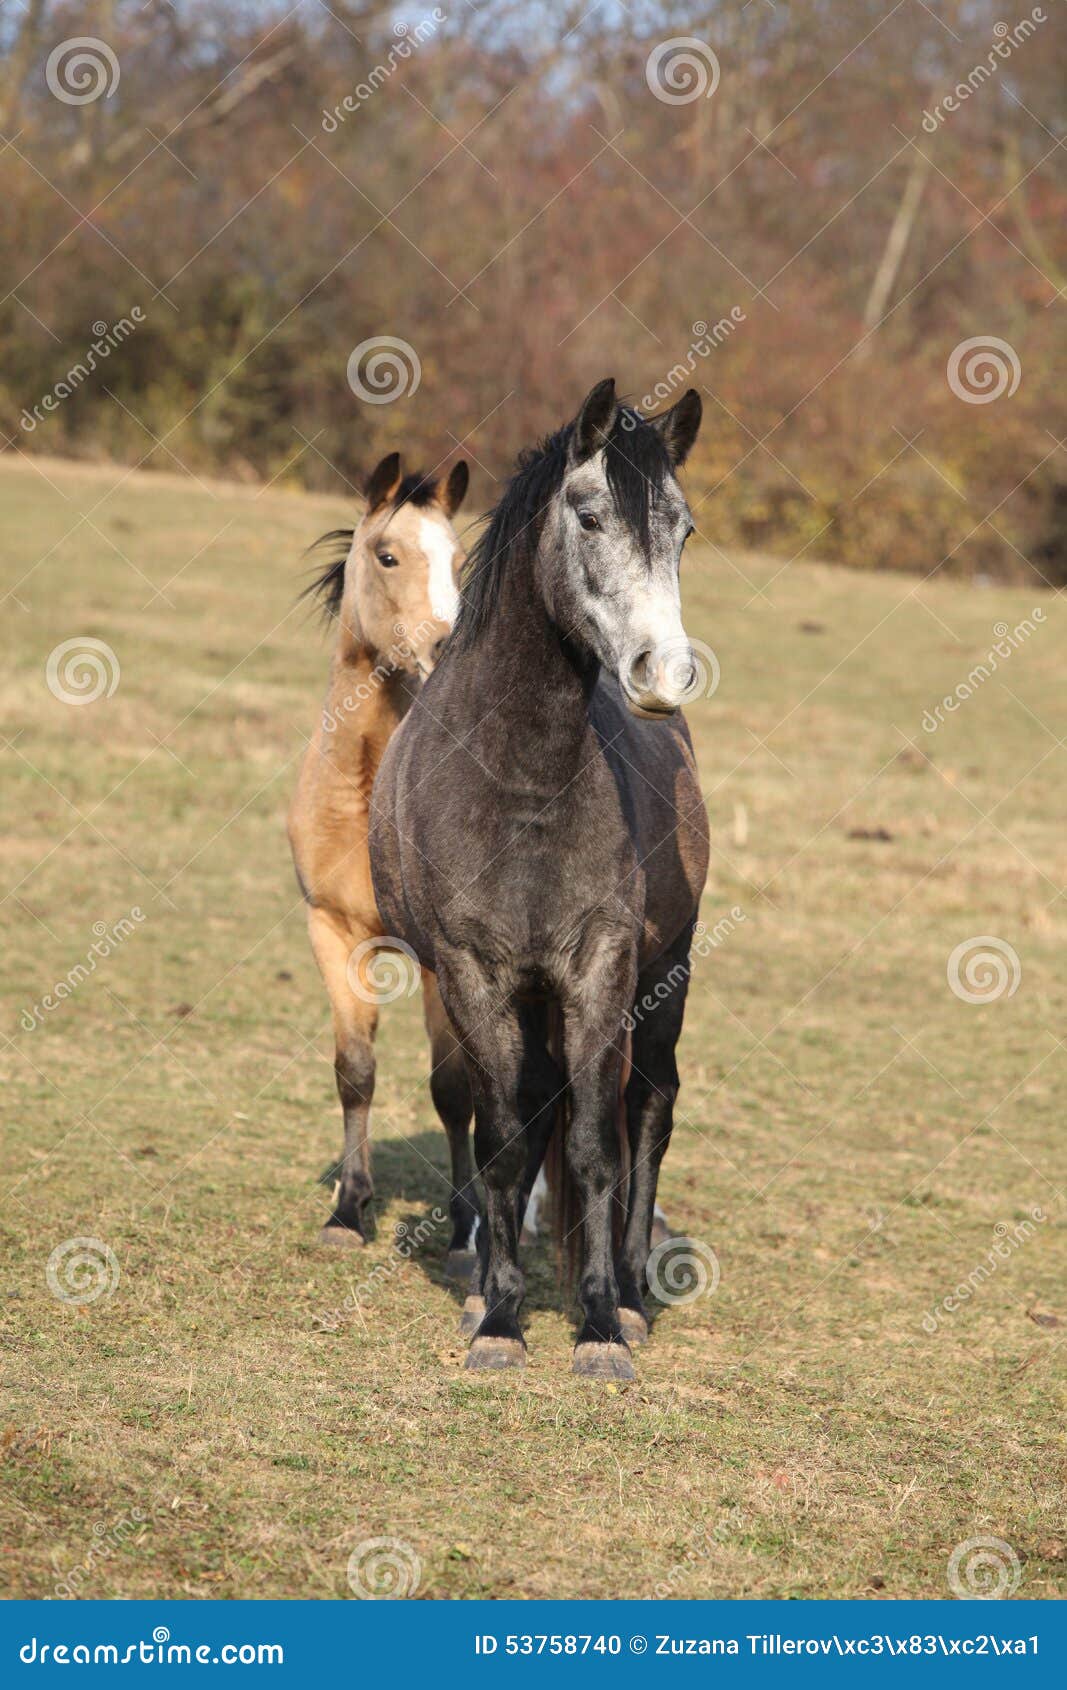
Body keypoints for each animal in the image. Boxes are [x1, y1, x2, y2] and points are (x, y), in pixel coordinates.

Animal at [369, 378, 710, 1379]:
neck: (520, 779)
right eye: (588, 515)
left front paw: (598, 1326)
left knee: (647, 1112)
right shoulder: (474, 975)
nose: (663, 673)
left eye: (682, 529)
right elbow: (506, 1143)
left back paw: (630, 1291)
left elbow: (595, 1147)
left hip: (667, 972)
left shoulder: (600, 968)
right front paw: (499, 1319)